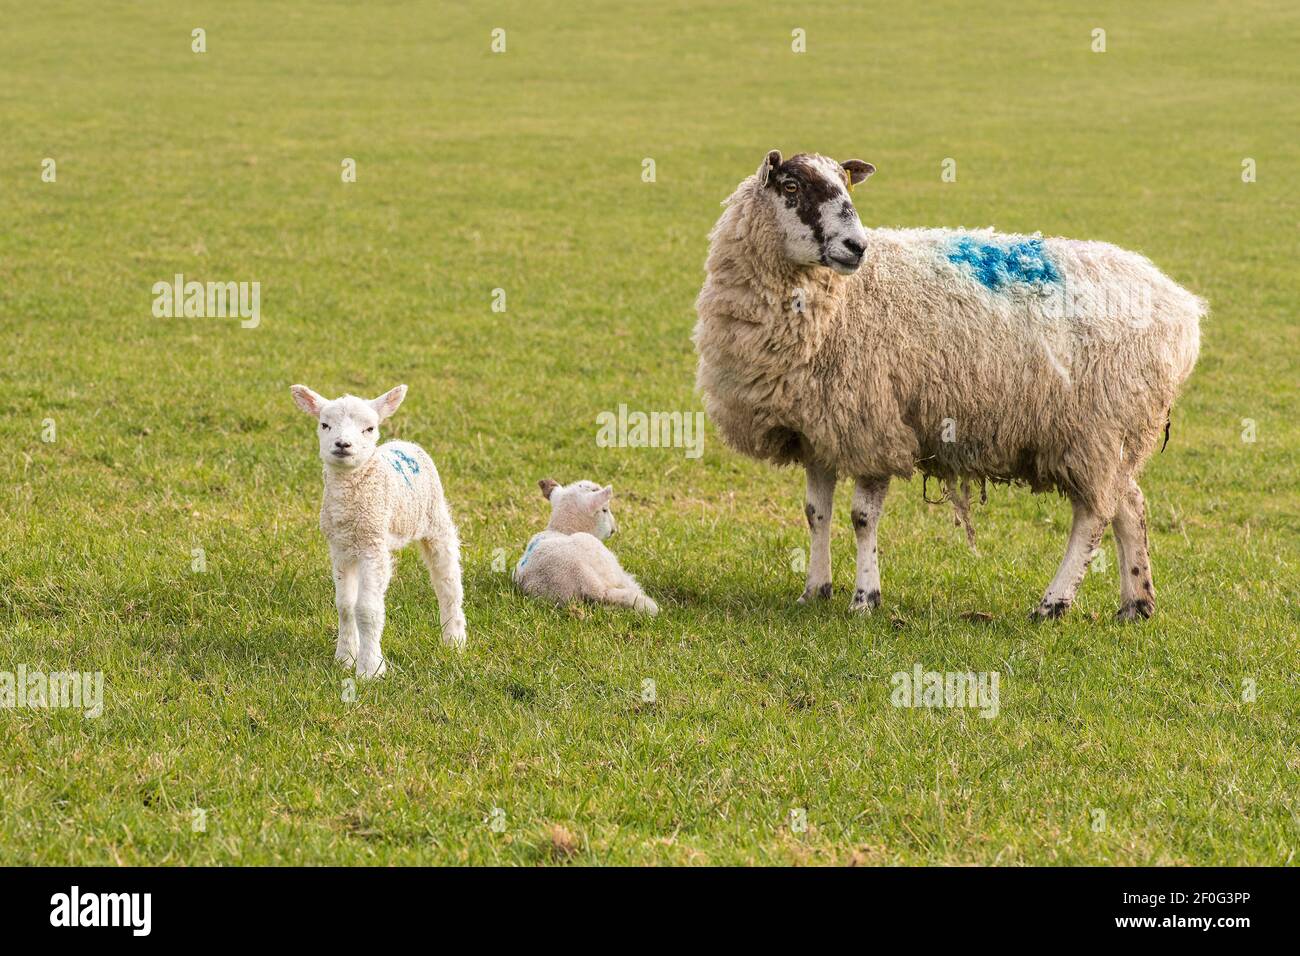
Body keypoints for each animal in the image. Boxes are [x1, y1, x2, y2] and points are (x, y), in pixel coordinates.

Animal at [290, 384, 466, 677]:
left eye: (369, 428)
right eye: (324, 425)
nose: (343, 444)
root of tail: (405, 443)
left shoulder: (373, 548)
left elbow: (367, 610)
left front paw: (370, 669)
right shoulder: (341, 550)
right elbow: (345, 606)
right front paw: (345, 658)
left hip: (436, 520)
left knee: (448, 583)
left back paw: (454, 640)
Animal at [693, 150, 1203, 621]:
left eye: (846, 186)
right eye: (792, 186)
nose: (857, 246)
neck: (837, 304)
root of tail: (1183, 307)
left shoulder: (876, 421)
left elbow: (862, 517)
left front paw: (865, 599)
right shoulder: (820, 427)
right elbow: (816, 513)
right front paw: (815, 591)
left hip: (1096, 427)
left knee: (1094, 515)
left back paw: (1052, 604)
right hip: (1115, 434)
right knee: (1129, 503)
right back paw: (1136, 603)